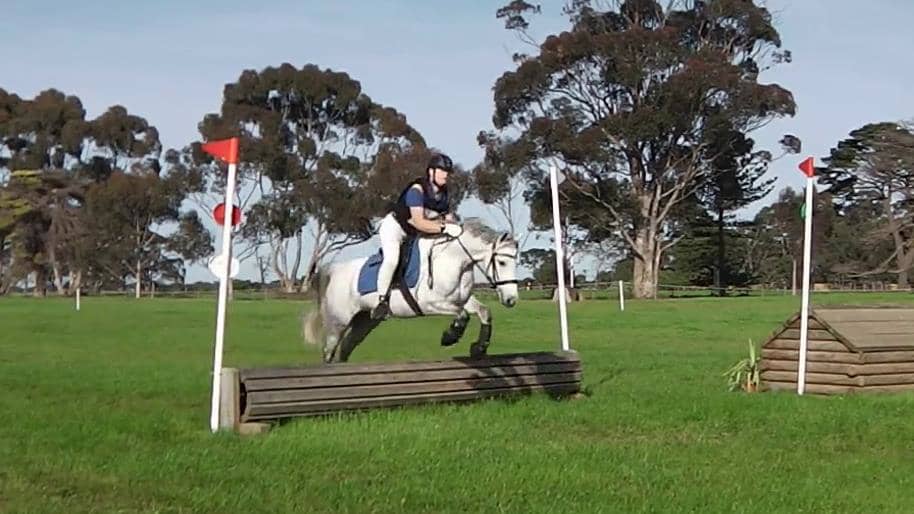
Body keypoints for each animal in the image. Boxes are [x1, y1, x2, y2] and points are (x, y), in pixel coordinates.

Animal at [302, 217, 520, 363]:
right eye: (502, 262)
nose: (511, 300)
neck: (453, 259)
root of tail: (334, 271)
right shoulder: (430, 303)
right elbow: (462, 315)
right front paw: (449, 337)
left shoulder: (460, 299)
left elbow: (484, 312)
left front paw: (479, 348)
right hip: (338, 322)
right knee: (329, 351)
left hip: (364, 322)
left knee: (345, 349)